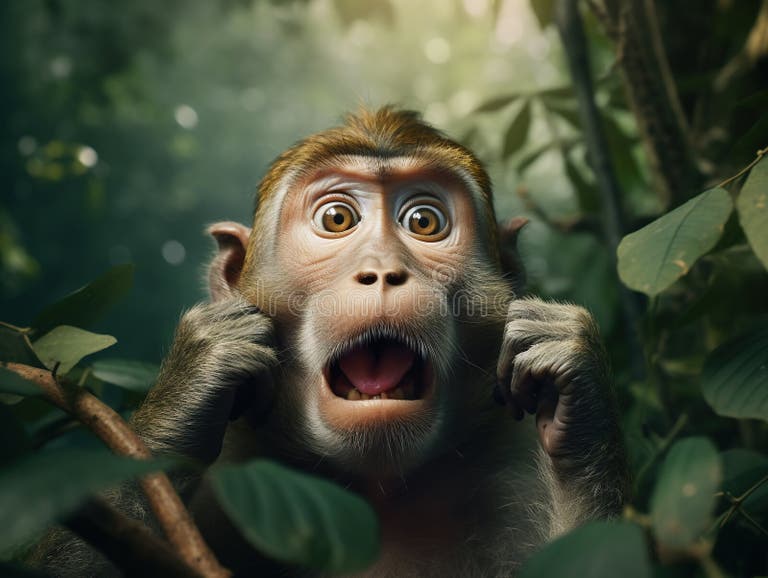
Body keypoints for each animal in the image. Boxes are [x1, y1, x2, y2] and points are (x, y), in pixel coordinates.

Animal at [34, 107, 628, 577]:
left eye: (424, 221)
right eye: (338, 218)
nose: (383, 270)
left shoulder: (513, 464)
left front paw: (572, 371)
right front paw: (196, 376)